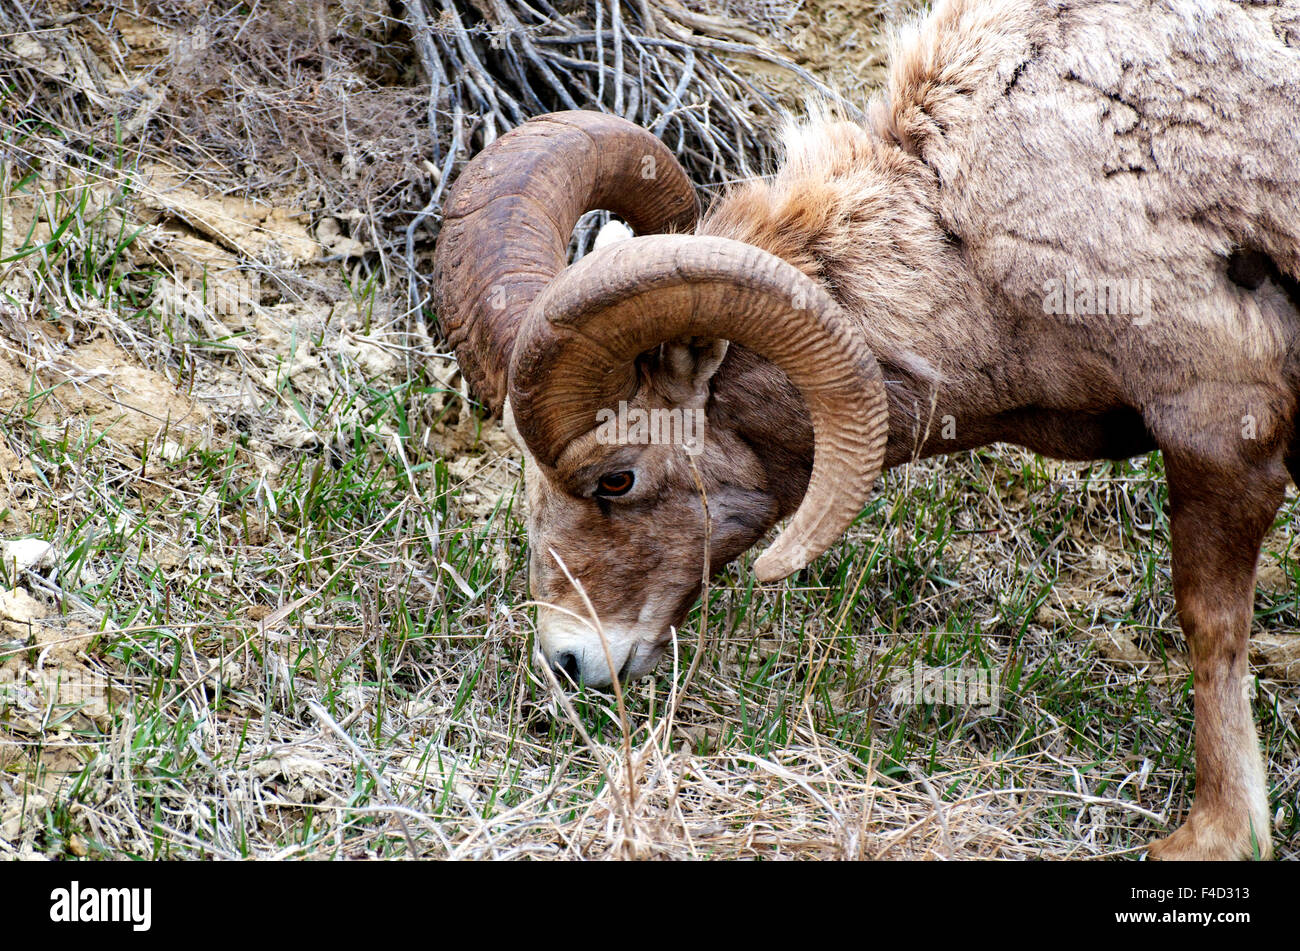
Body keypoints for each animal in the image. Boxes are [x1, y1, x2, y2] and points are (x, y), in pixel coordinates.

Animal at [432, 0, 1300, 860]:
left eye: (616, 477)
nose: (568, 659)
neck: (972, 233)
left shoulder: (1219, 430)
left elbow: (1210, 625)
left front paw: (1219, 833)